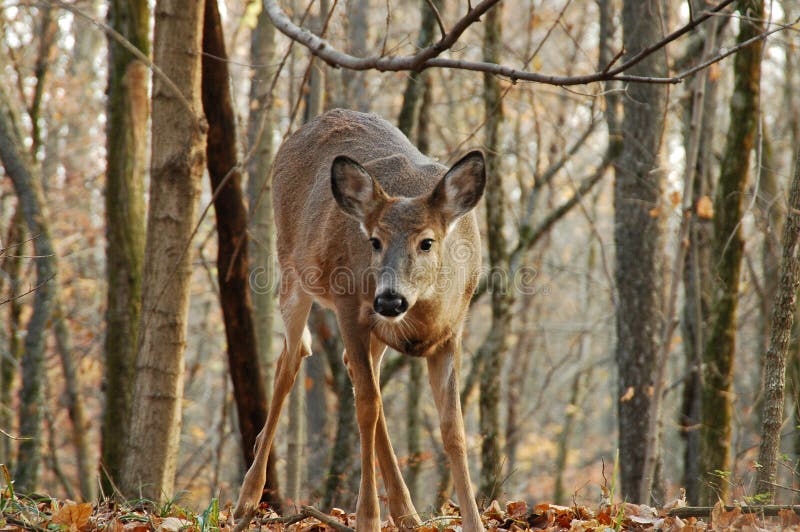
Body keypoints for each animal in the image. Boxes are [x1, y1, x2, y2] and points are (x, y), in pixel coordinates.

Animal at [234, 109, 487, 532]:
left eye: (427, 242)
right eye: (374, 241)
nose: (389, 299)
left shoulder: (451, 331)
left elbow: (454, 428)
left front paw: (475, 522)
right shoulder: (350, 306)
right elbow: (366, 407)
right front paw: (367, 517)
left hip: (374, 332)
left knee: (354, 369)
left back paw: (407, 512)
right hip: (292, 269)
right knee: (292, 358)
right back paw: (247, 499)